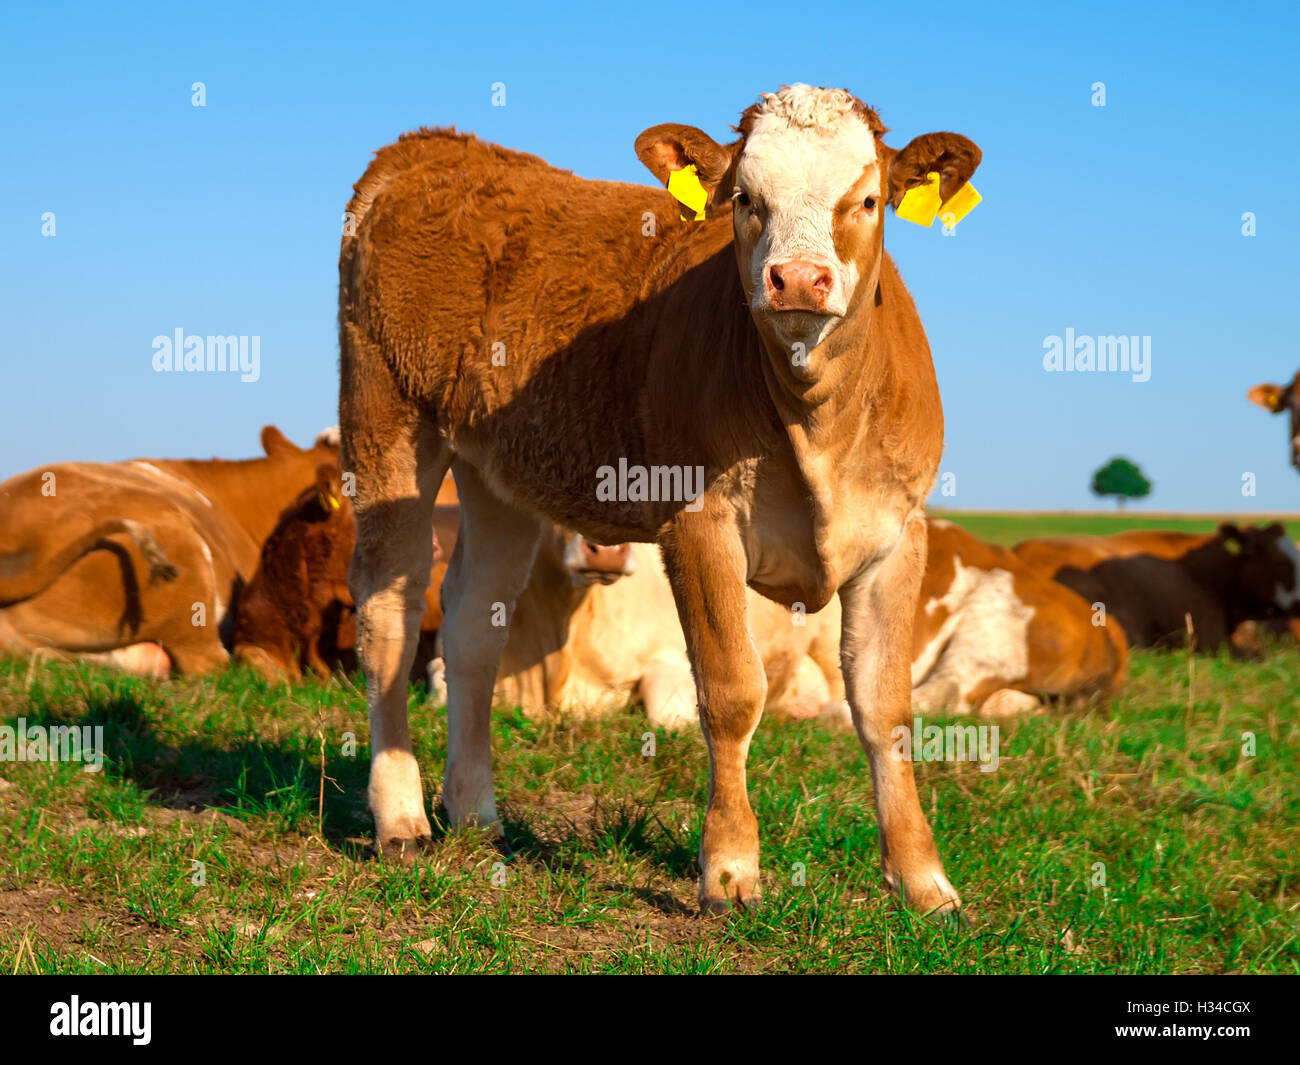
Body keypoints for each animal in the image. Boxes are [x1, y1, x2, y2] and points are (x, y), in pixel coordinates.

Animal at [339, 84, 983, 916]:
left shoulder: (896, 535)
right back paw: (402, 816)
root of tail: (431, 145)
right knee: (389, 610)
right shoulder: (698, 521)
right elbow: (733, 690)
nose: (798, 279)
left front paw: (922, 877)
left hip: (494, 469)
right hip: (387, 420)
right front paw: (731, 869)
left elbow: (884, 707)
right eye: (744, 198)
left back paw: (476, 812)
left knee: (473, 623)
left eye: (867, 199)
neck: (817, 420)